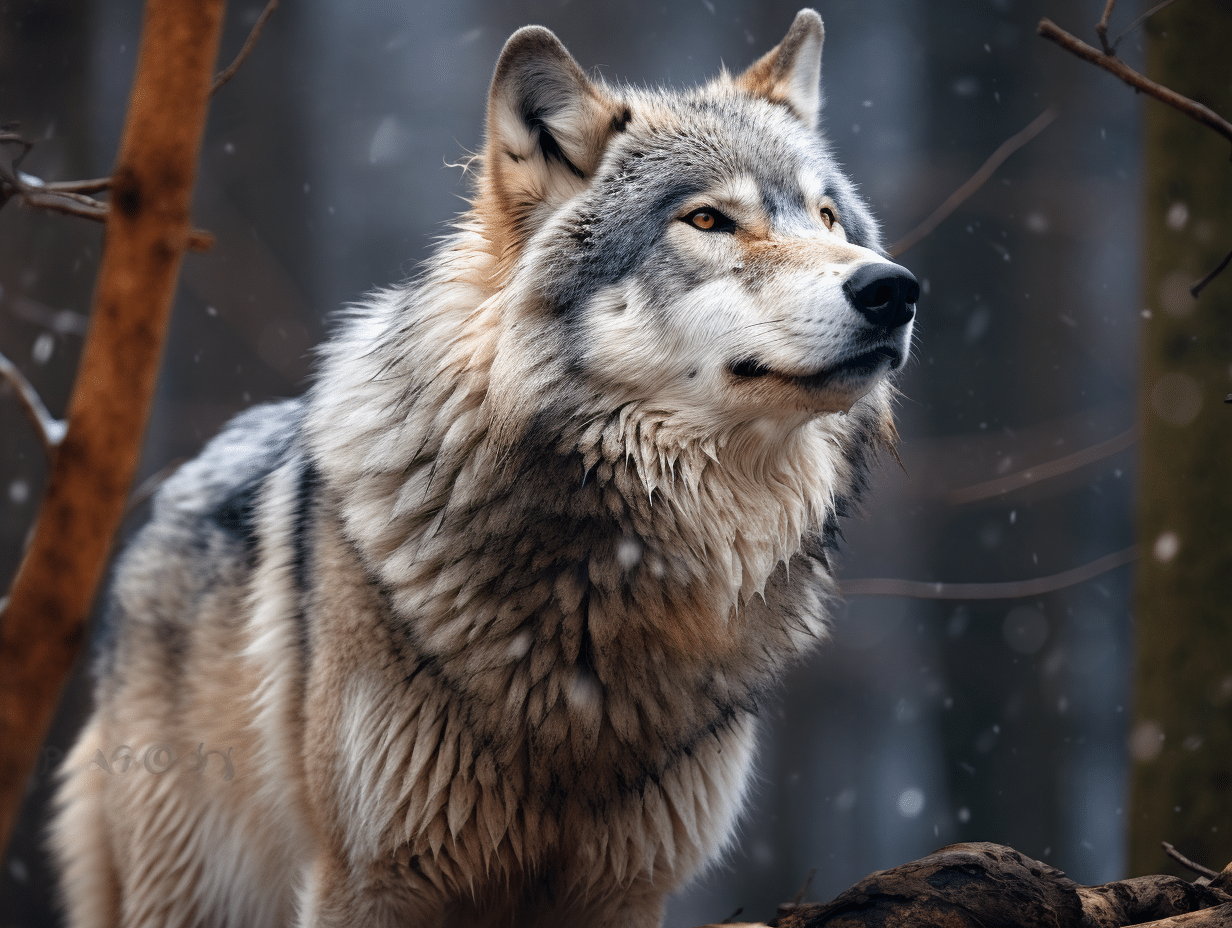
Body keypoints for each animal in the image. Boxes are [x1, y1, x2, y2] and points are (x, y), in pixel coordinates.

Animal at [50, 9, 918, 927]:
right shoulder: (367, 878)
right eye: (710, 221)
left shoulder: (627, 888)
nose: (894, 289)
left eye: (827, 217)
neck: (609, 584)